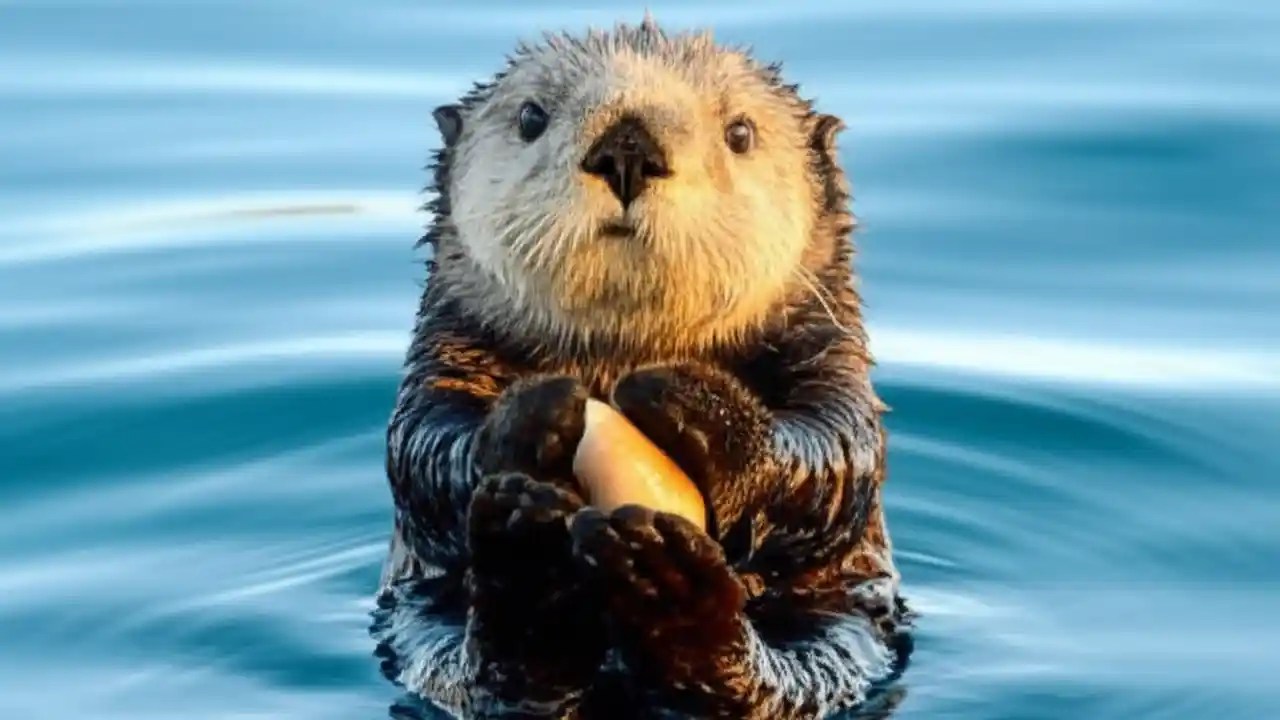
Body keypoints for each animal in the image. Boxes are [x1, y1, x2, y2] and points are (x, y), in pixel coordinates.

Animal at [370, 15, 913, 720]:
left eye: (740, 132)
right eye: (531, 117)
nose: (626, 150)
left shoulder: (828, 353)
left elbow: (837, 452)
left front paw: (697, 410)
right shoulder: (446, 348)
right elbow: (422, 444)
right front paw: (530, 416)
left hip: (843, 638)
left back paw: (665, 585)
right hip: (425, 640)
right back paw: (534, 559)